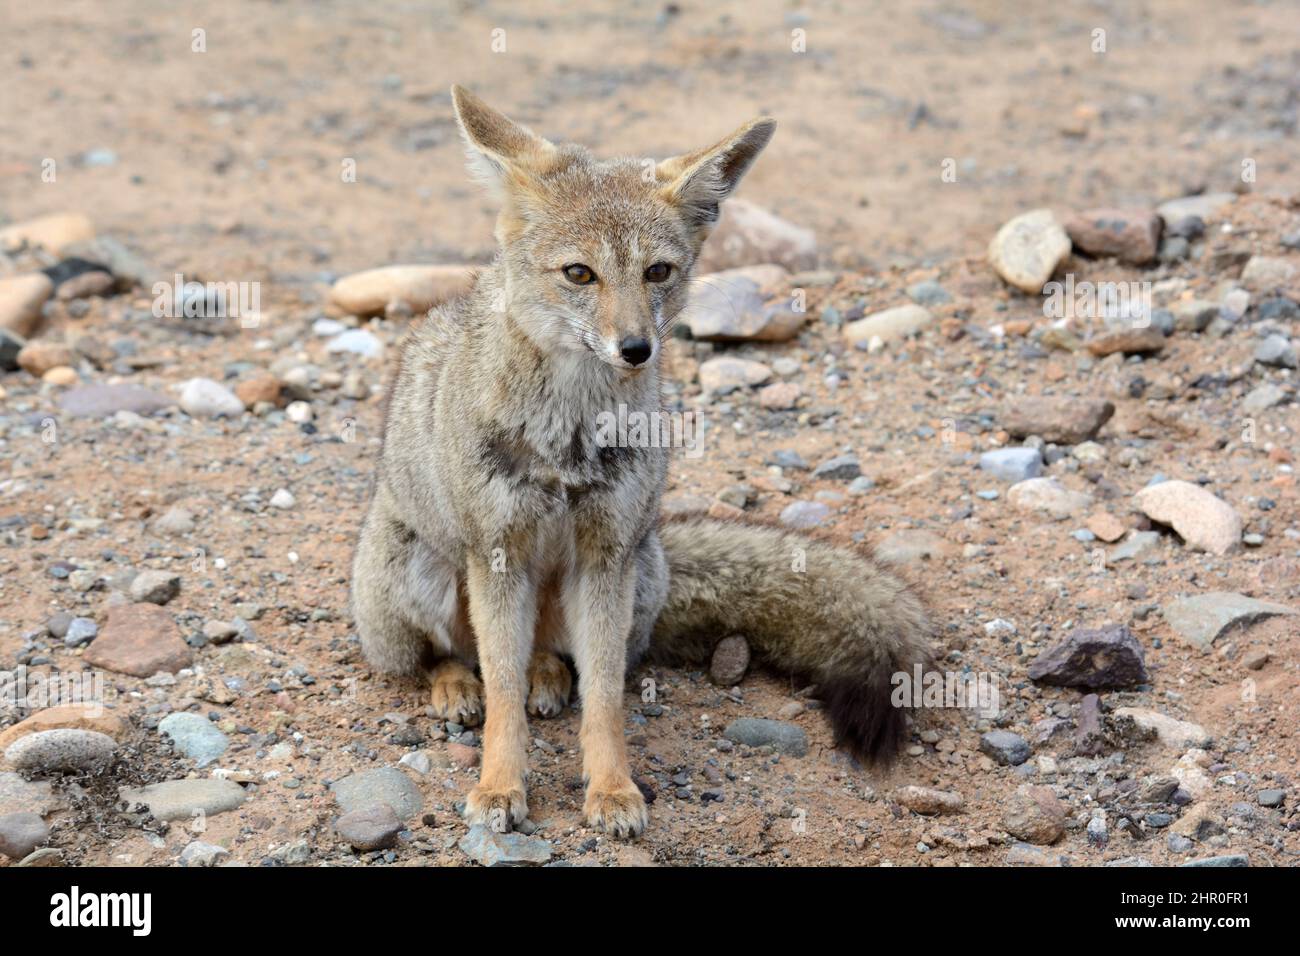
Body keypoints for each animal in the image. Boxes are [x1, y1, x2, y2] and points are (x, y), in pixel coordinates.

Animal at [350, 85, 934, 838]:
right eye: (579, 273)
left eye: (658, 271)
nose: (635, 349)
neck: (569, 434)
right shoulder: (500, 552)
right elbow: (500, 689)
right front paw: (500, 786)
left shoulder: (605, 555)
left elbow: (604, 695)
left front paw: (611, 789)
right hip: (422, 569)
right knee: (447, 656)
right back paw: (455, 687)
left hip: (635, 572)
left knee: (551, 657)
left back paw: (547, 675)